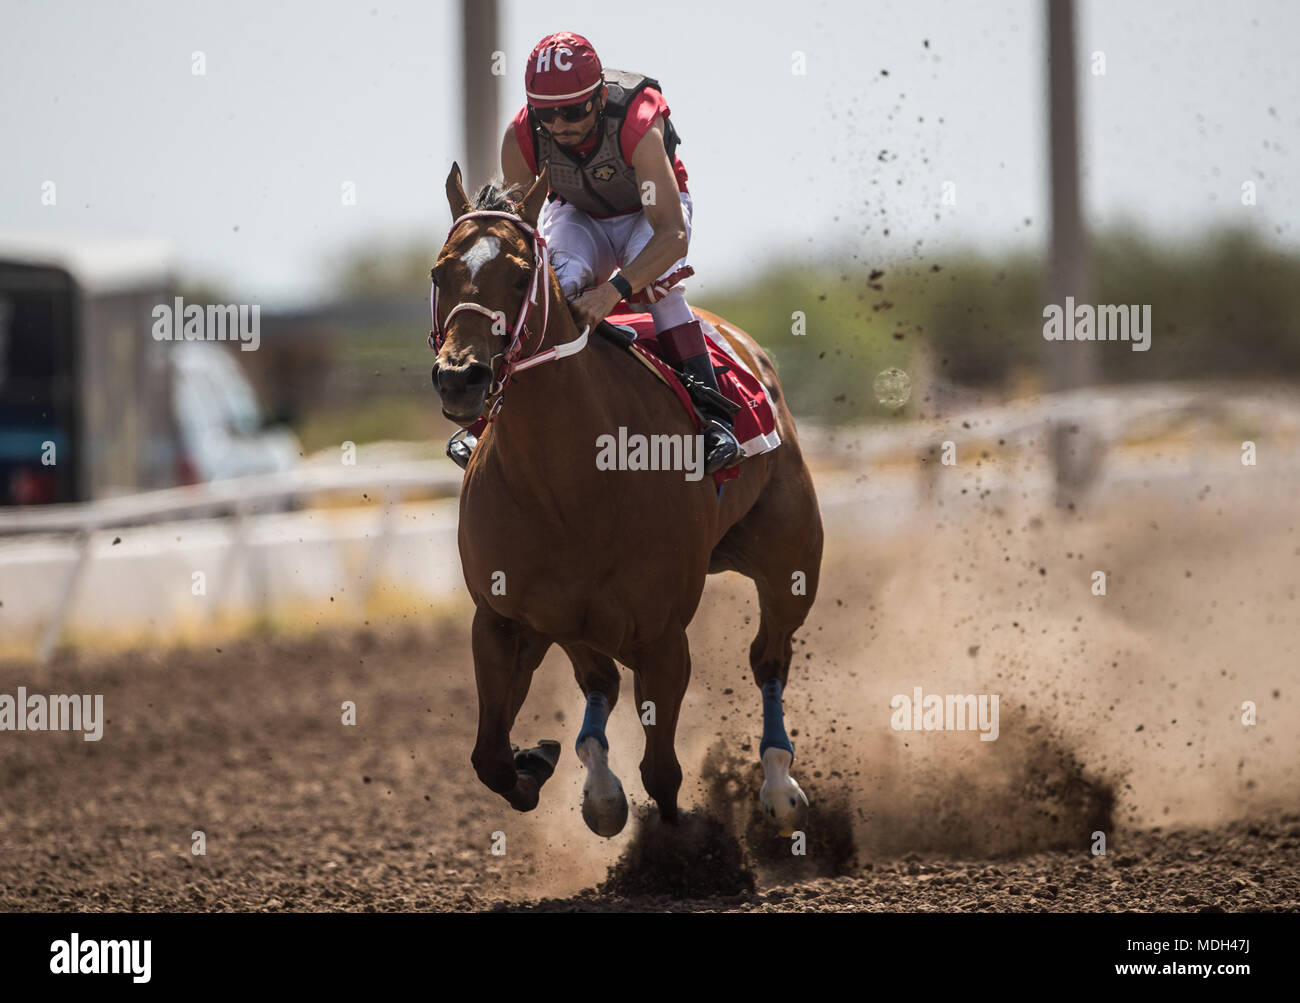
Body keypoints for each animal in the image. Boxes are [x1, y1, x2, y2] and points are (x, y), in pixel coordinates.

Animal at [430, 162, 823, 838]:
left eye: (519, 274)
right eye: (439, 273)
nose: (461, 378)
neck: (566, 487)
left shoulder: (664, 638)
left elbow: (662, 772)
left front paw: (683, 840)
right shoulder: (504, 620)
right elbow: (490, 758)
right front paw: (539, 761)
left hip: (790, 564)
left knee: (769, 658)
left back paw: (778, 788)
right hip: (573, 623)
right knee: (599, 683)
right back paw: (597, 784)